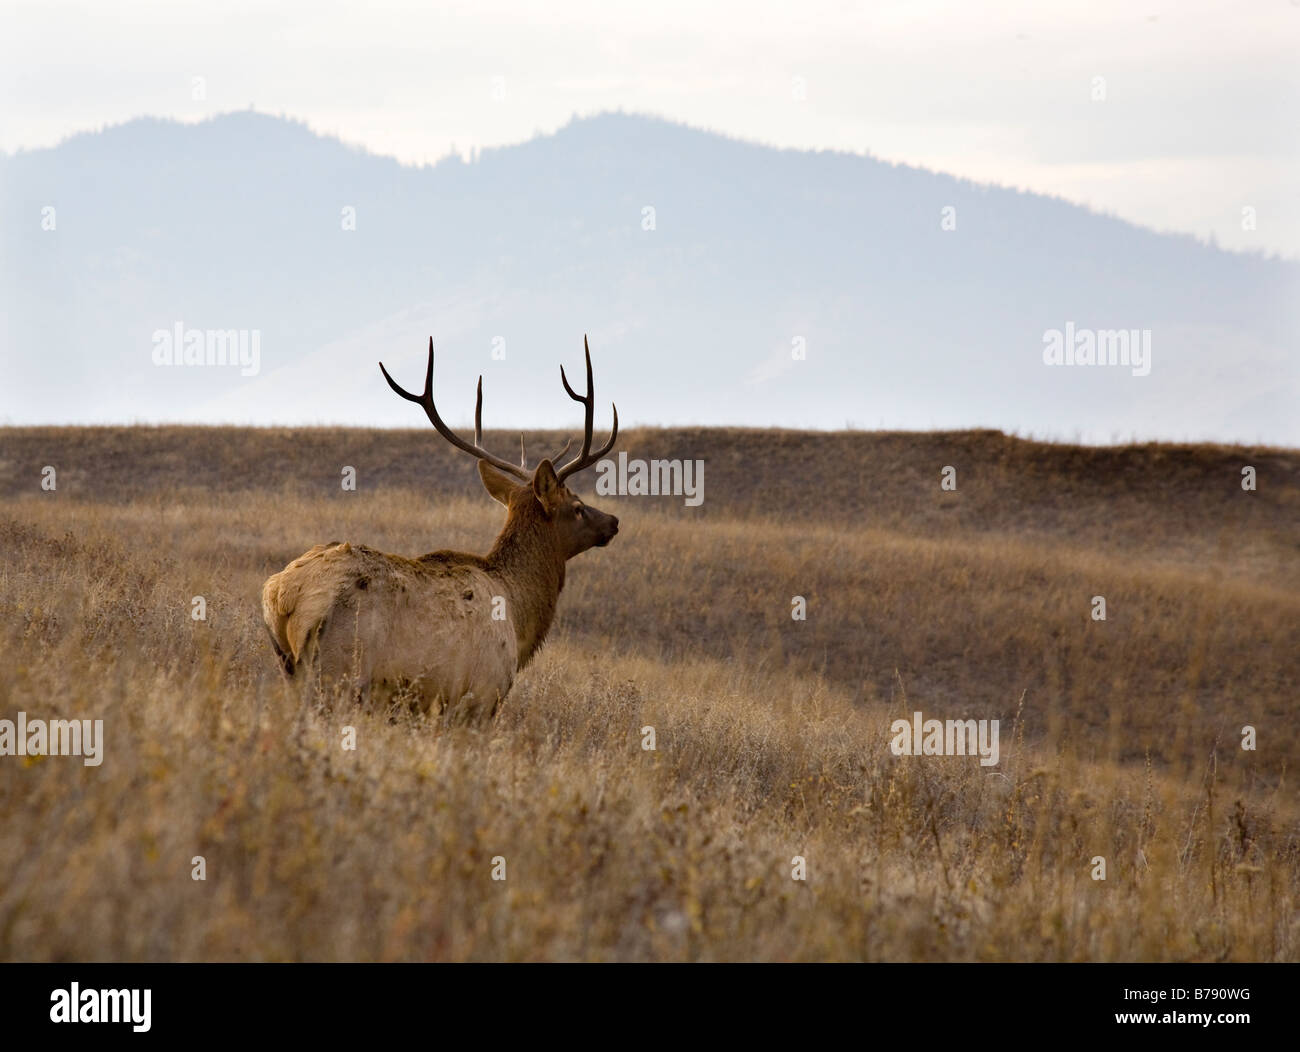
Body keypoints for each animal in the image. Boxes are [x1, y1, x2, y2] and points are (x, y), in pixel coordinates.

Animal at [261, 336, 620, 722]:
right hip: (337, 672)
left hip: (288, 668)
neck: (519, 613)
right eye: (578, 507)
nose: (613, 522)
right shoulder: (481, 697)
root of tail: (282, 596)